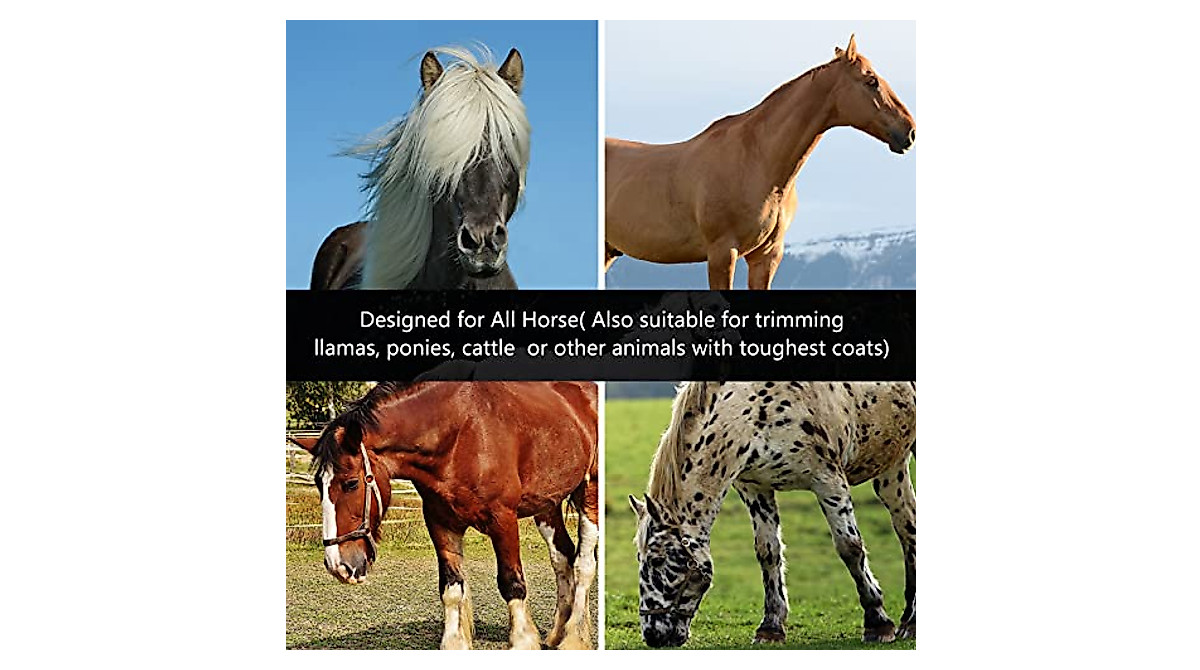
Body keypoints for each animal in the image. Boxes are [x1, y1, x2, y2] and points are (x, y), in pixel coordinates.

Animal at [299, 381, 599, 650]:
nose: (338, 565)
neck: (460, 432)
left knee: (584, 564)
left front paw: (522, 642)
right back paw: (557, 634)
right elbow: (452, 588)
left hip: (589, 494)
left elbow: (512, 584)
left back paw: (573, 638)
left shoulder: (503, 520)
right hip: (547, 505)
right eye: (318, 484)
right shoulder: (441, 522)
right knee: (562, 557)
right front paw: (455, 642)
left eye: (351, 483)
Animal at [629, 381, 916, 647]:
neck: (755, 408)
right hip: (892, 469)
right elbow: (768, 552)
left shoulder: (828, 480)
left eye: (657, 560)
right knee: (908, 527)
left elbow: (850, 548)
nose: (653, 634)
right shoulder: (754, 488)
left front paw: (877, 622)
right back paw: (909, 621)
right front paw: (771, 627)